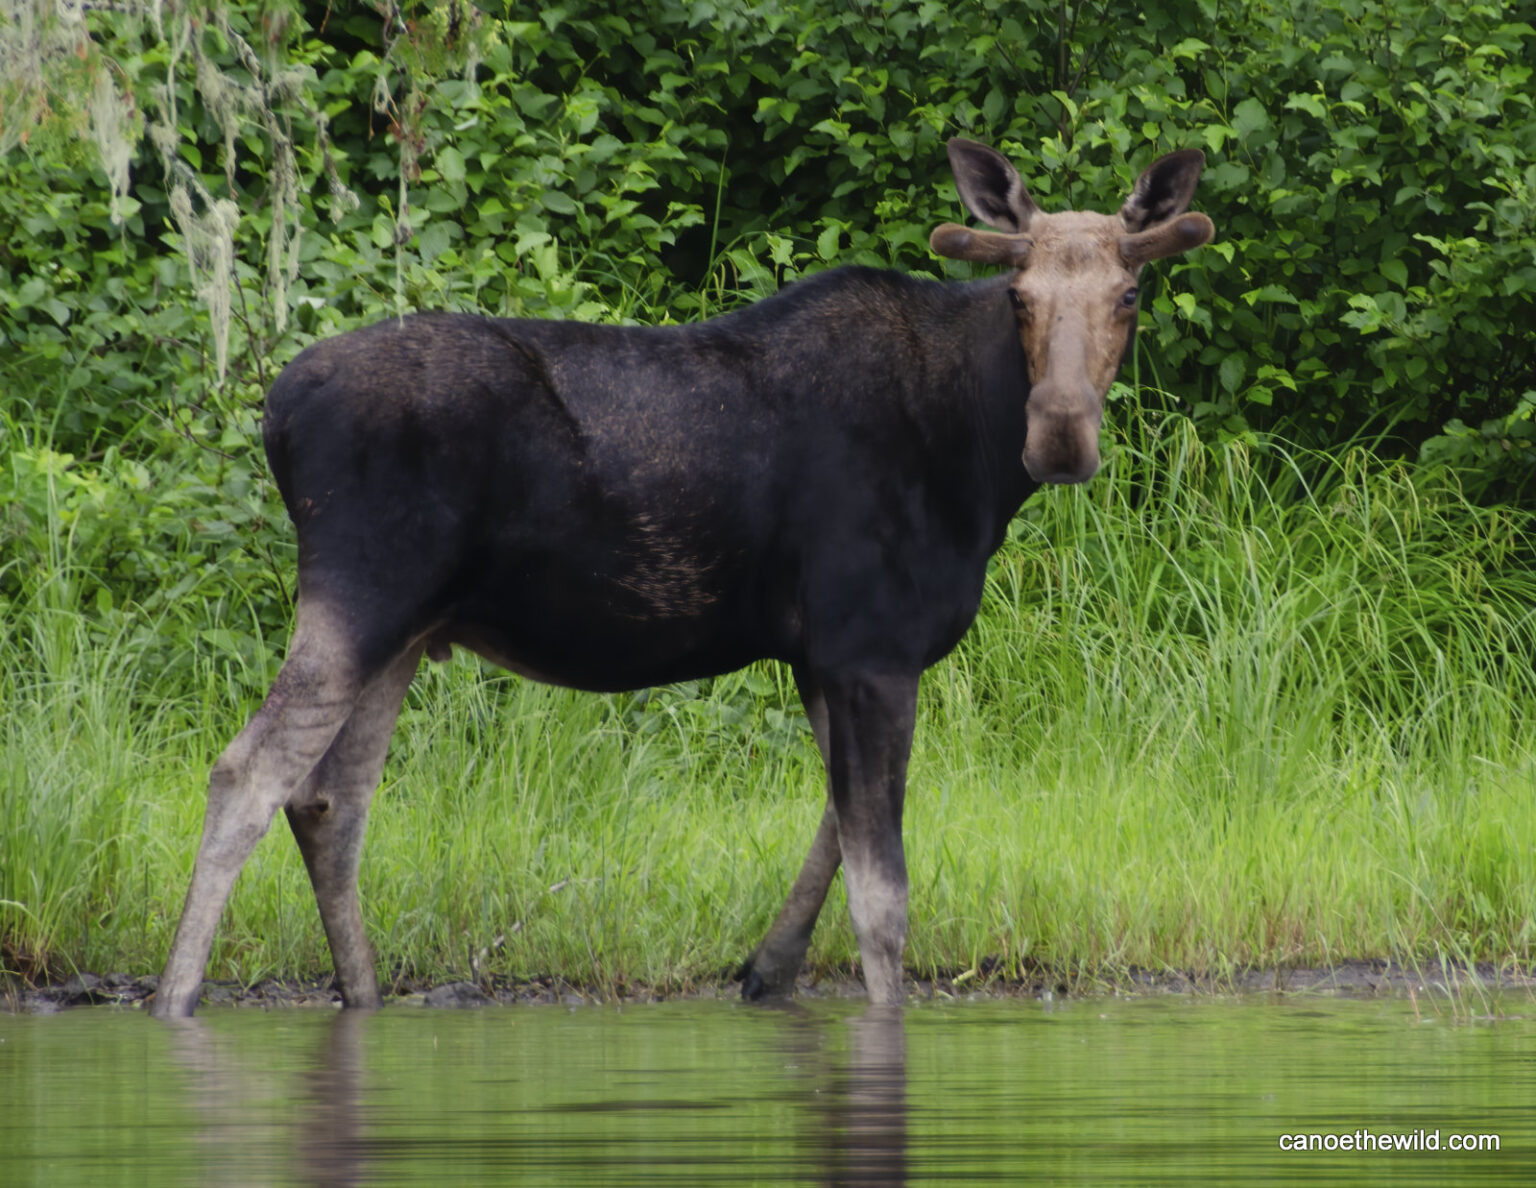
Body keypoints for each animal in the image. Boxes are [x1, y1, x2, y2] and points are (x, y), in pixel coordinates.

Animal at [150, 138, 1214, 1018]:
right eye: (1018, 298)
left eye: (1128, 297)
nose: (1061, 436)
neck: (978, 460)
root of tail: (276, 413)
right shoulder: (871, 647)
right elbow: (884, 894)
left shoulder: (824, 655)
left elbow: (833, 835)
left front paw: (765, 971)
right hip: (364, 591)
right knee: (248, 774)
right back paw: (174, 1001)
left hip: (408, 628)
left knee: (331, 802)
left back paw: (362, 998)